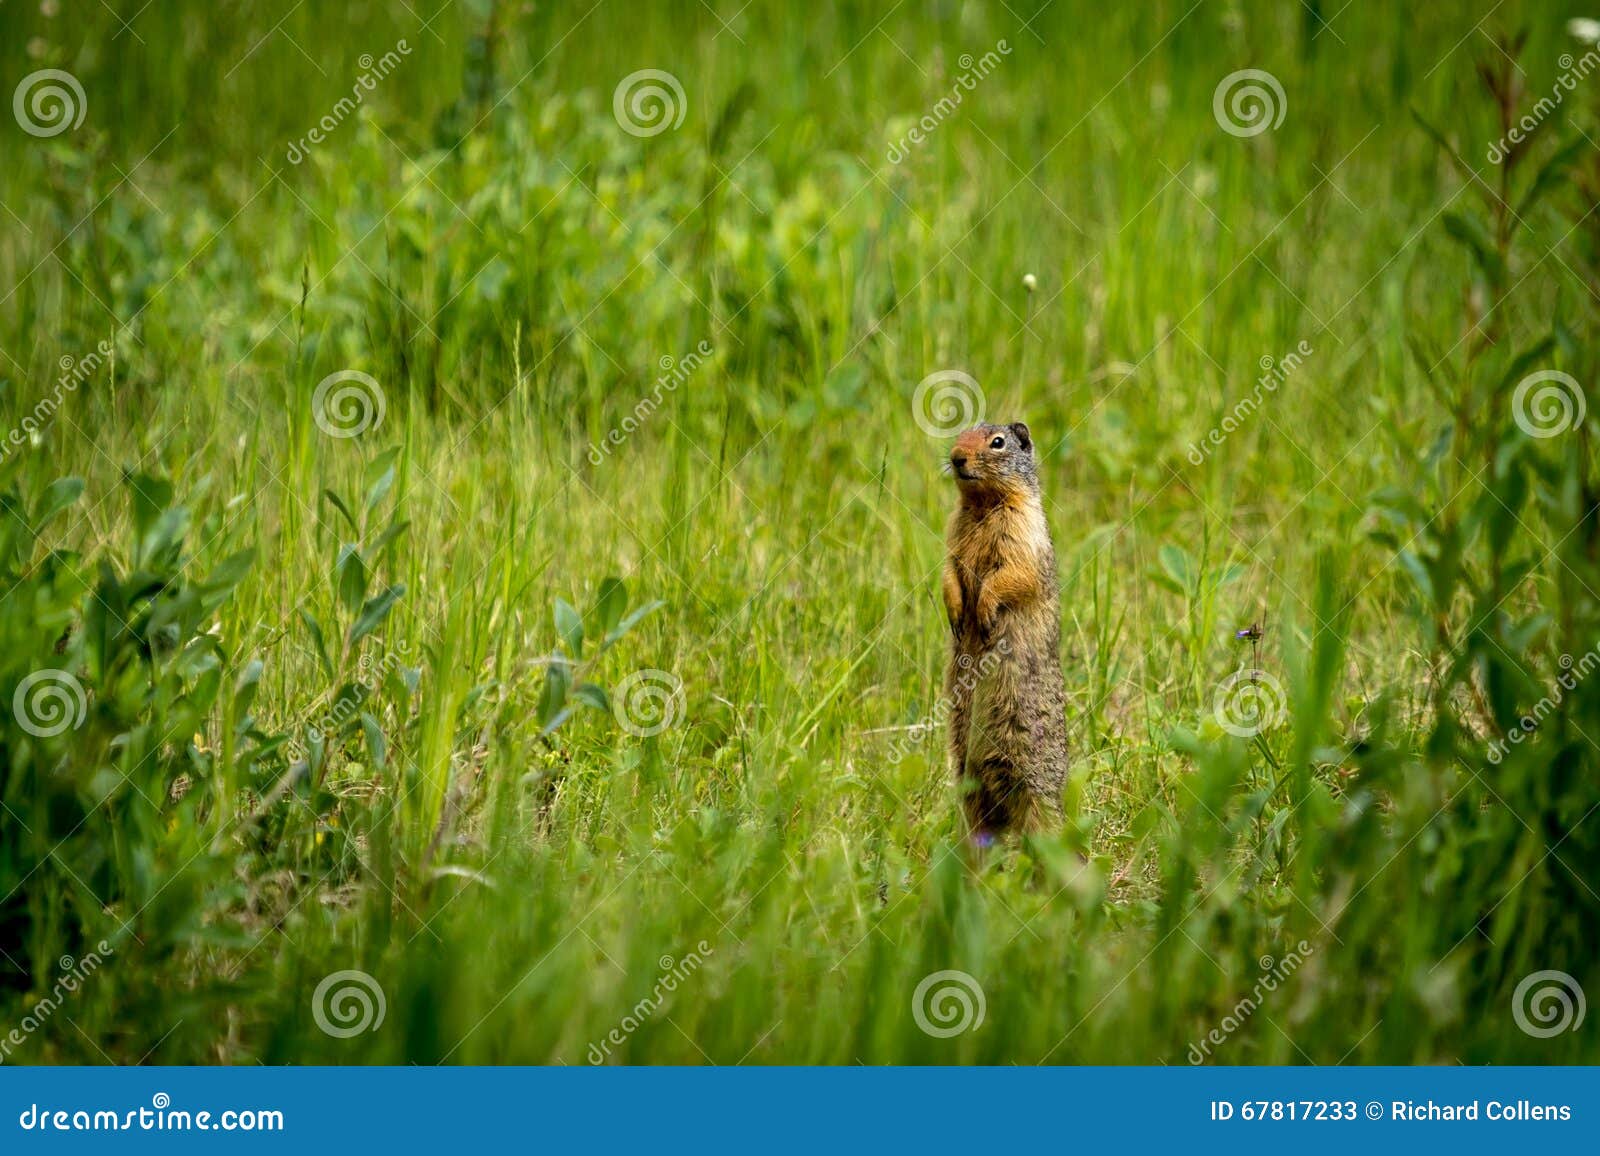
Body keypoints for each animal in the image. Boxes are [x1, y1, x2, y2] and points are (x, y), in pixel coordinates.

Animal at [940, 420, 1068, 842]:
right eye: (959, 435)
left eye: (997, 442)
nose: (955, 457)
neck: (983, 505)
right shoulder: (952, 535)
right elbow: (948, 570)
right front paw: (956, 611)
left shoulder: (1022, 533)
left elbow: (1011, 574)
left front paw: (983, 612)